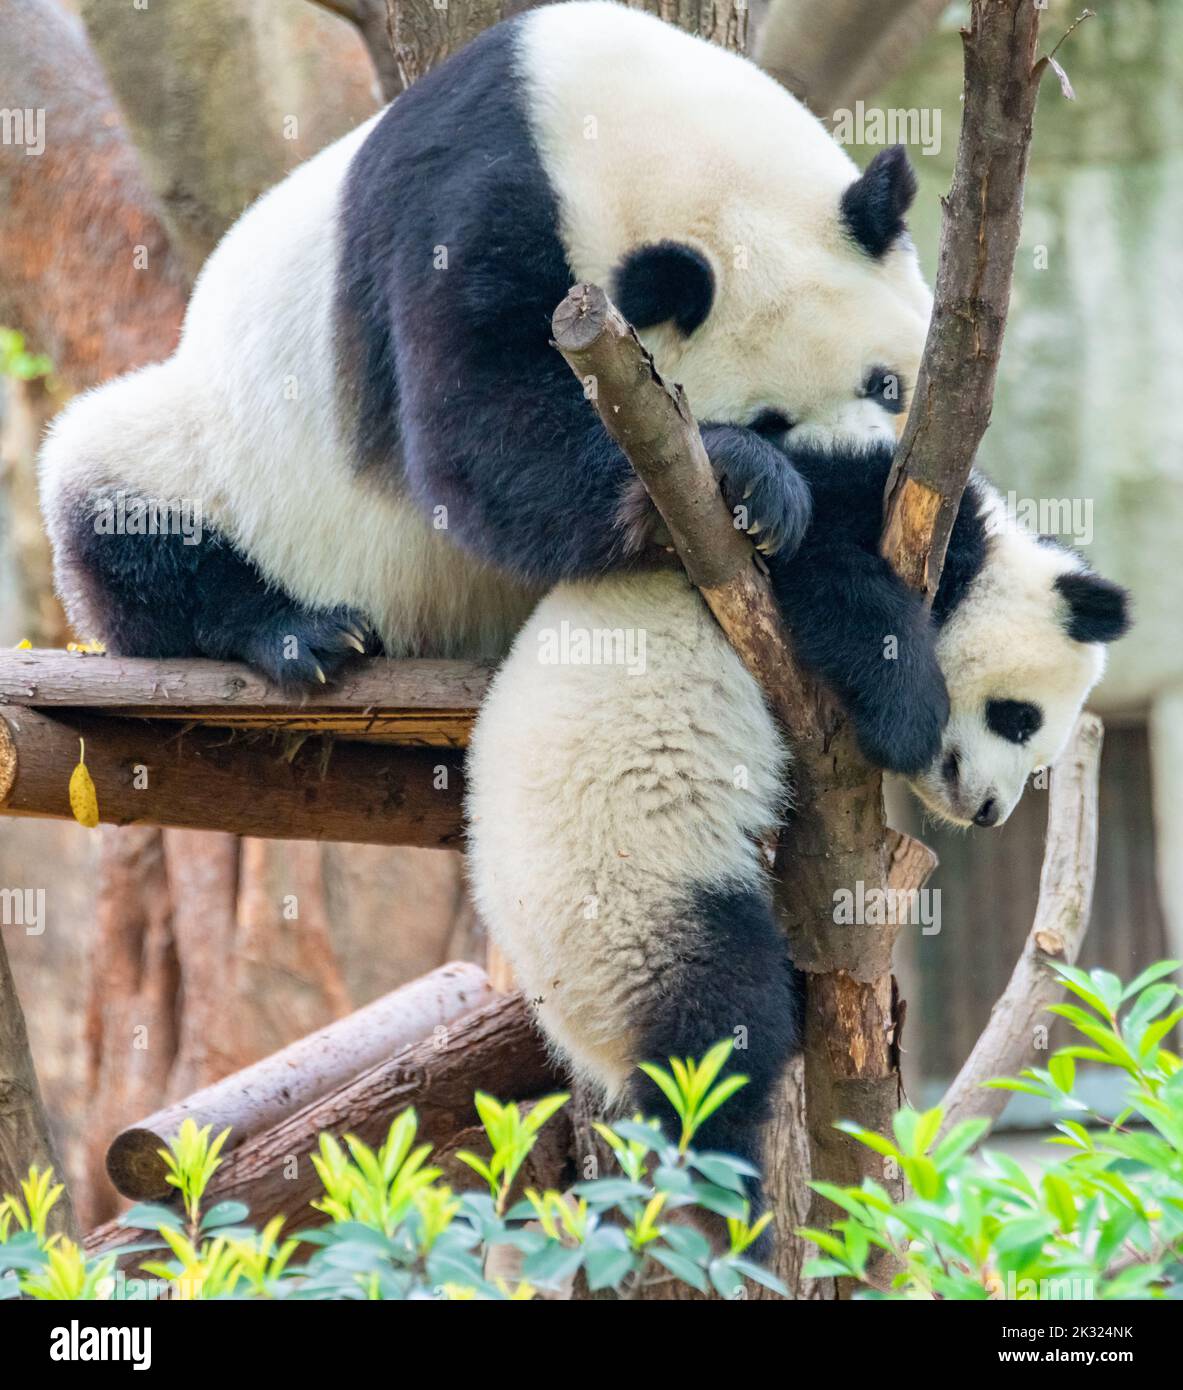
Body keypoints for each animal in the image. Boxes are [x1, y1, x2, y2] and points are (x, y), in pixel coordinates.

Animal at [38, 1, 931, 690]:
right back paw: (299, 631)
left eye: (886, 385)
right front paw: (747, 474)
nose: (857, 464)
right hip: (220, 452)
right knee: (119, 503)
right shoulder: (468, 204)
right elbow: (479, 437)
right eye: (770, 418)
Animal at [466, 441, 1130, 1217]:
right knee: (716, 1048)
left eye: (1041, 752)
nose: (990, 811)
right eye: (1018, 717)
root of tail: (575, 1028)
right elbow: (828, 570)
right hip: (633, 904)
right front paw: (907, 715)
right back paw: (732, 1199)